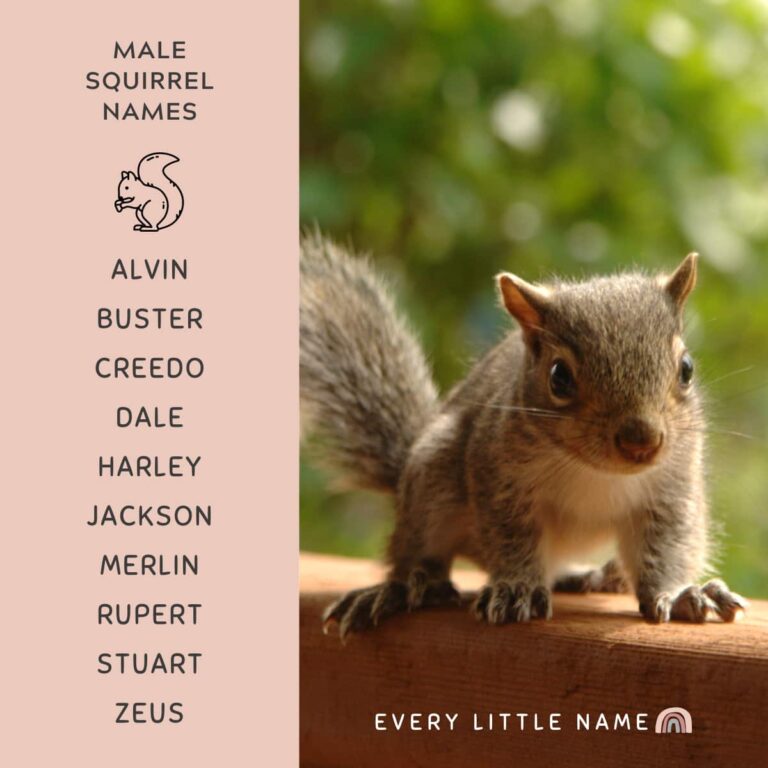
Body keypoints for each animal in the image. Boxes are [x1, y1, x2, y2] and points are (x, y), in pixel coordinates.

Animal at [300, 232, 747, 640]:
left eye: (686, 368)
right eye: (559, 377)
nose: (642, 441)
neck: (594, 471)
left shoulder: (671, 487)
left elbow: (667, 544)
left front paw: (679, 593)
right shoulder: (499, 475)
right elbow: (511, 535)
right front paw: (517, 588)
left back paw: (594, 576)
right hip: (432, 478)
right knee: (415, 552)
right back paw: (406, 588)